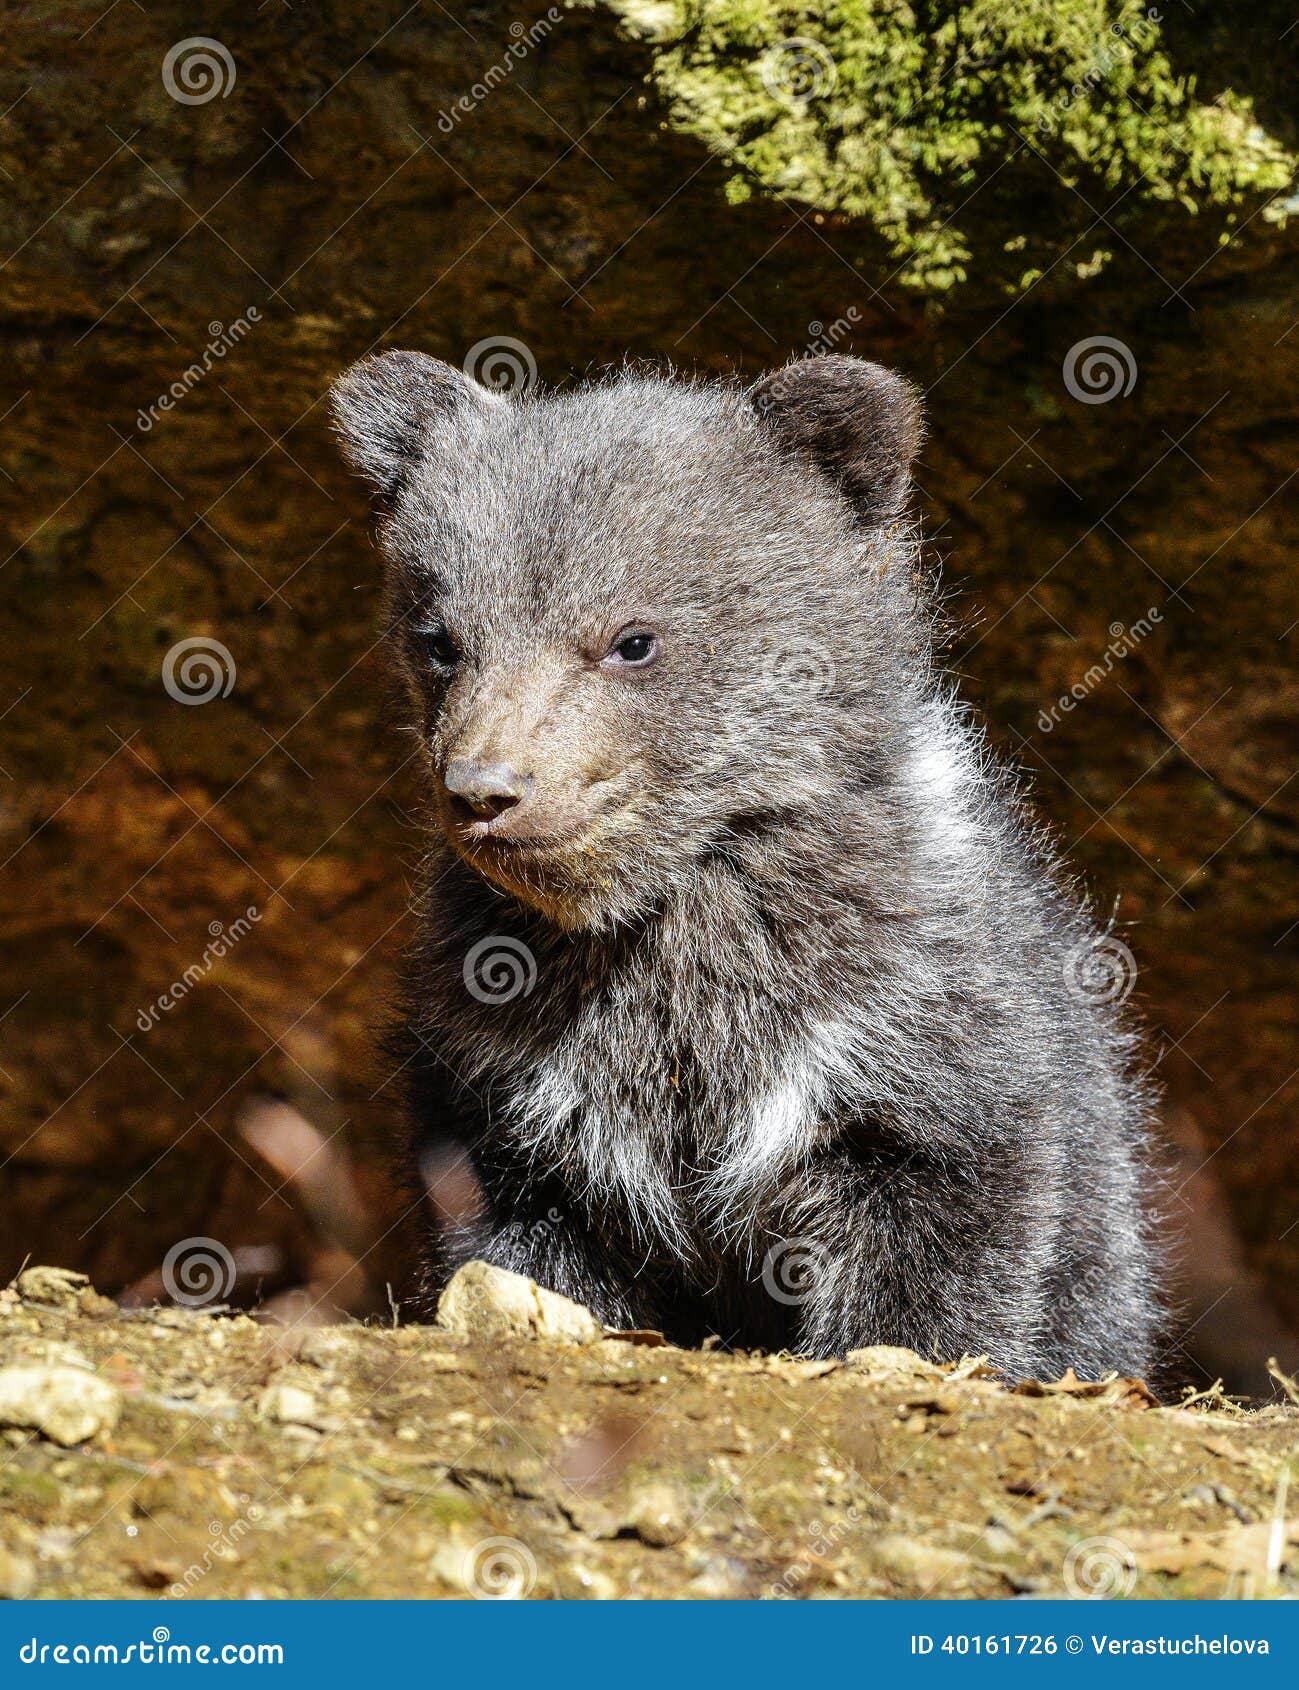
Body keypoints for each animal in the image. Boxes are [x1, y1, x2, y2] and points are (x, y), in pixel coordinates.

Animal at [330, 349, 1162, 1381]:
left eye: (631, 638)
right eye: (441, 639)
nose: (487, 789)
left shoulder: (909, 1035)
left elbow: (948, 1220)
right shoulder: (508, 1076)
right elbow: (520, 1230)